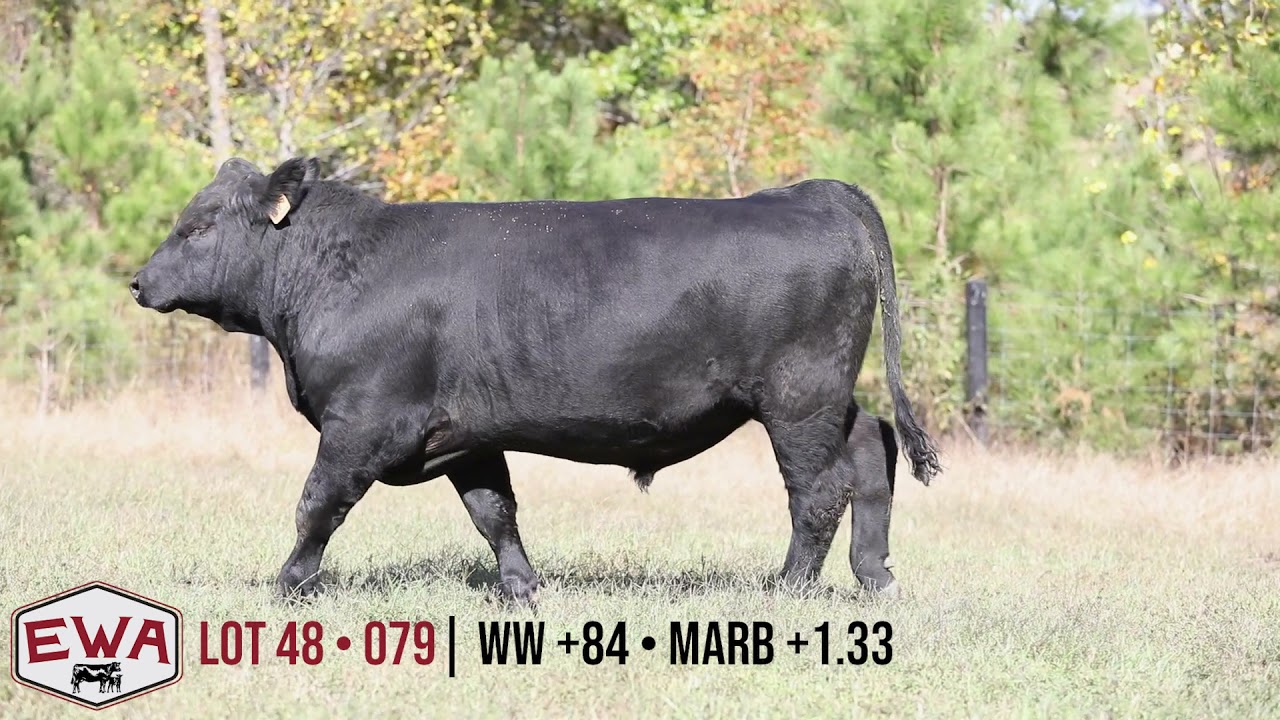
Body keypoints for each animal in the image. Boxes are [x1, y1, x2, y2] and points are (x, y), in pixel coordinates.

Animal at [130, 157, 941, 605]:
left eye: (197, 227)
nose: (139, 281)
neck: (337, 267)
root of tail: (810, 192)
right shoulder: (463, 435)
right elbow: (495, 512)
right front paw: (522, 590)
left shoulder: (361, 422)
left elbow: (315, 505)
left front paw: (288, 586)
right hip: (829, 399)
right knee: (871, 451)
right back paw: (875, 576)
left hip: (797, 399)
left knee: (819, 490)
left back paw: (789, 589)